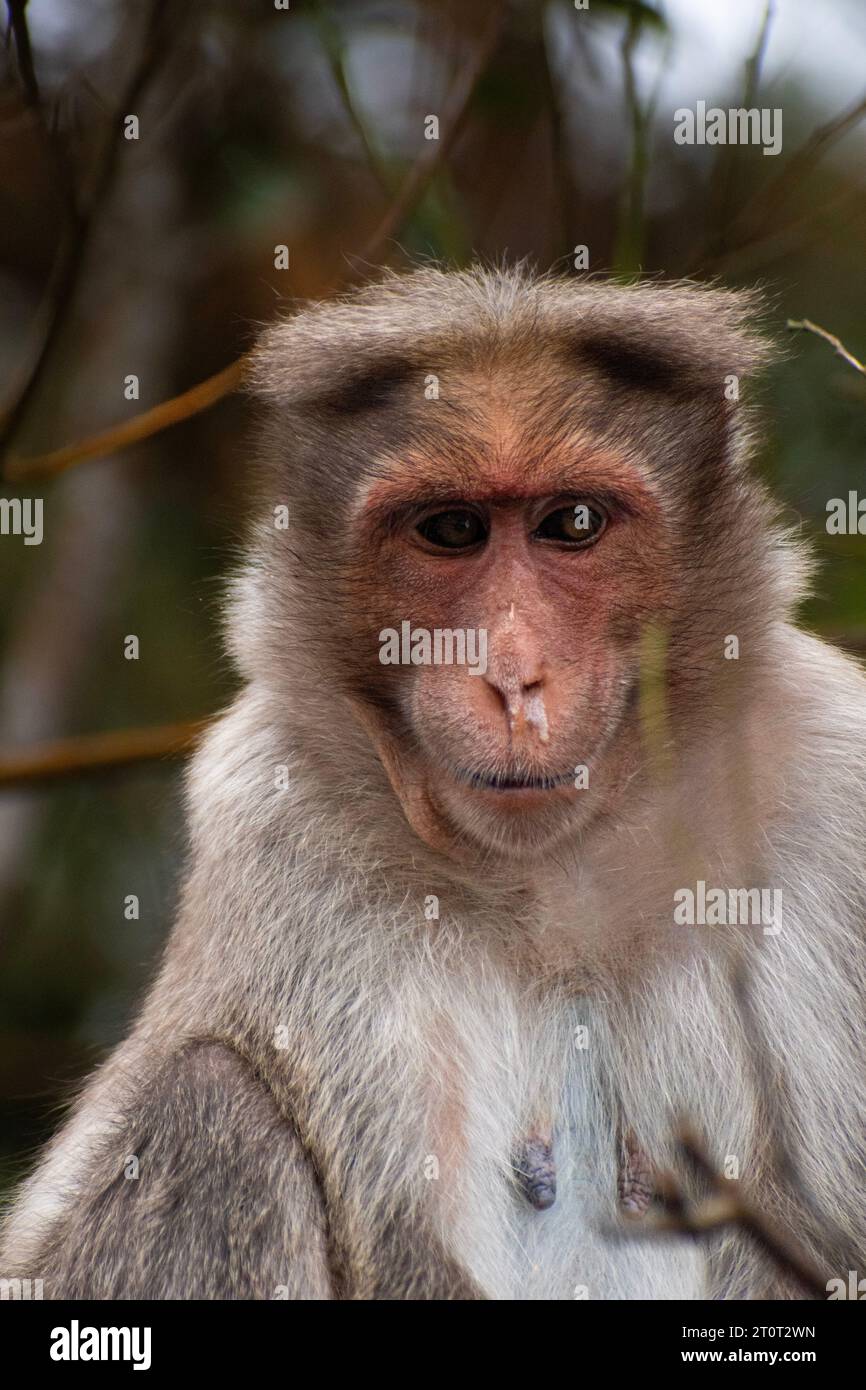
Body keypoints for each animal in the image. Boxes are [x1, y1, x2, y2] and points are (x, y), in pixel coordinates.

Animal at [2, 264, 866, 1300]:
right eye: (450, 531)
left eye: (572, 524)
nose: (513, 675)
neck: (558, 881)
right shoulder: (279, 820)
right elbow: (394, 1236)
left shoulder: (830, 781)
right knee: (213, 1109)